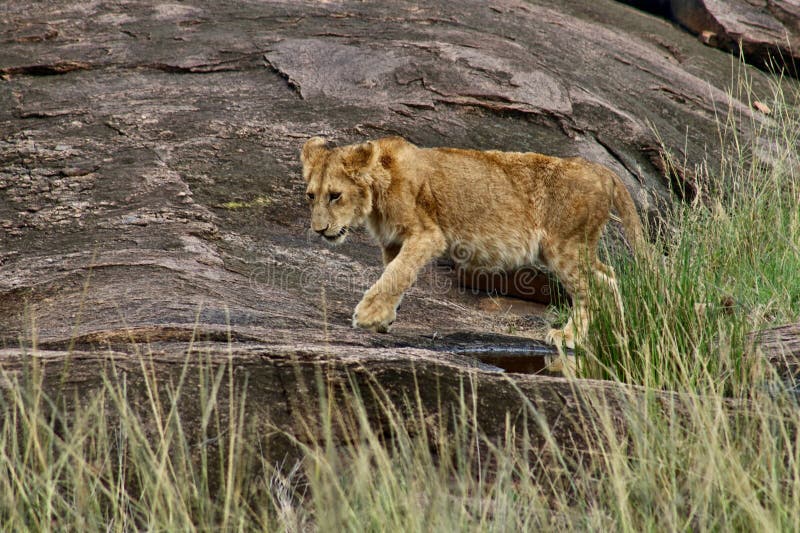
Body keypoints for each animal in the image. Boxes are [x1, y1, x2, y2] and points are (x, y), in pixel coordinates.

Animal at [300, 136, 645, 349]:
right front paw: (384, 318)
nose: (318, 230)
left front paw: (368, 315)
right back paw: (618, 332)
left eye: (335, 195)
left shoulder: (428, 234)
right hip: (573, 248)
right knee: (608, 276)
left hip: (565, 246)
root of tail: (600, 170)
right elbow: (394, 274)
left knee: (591, 288)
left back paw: (570, 335)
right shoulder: (394, 242)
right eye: (311, 196)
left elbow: (395, 274)